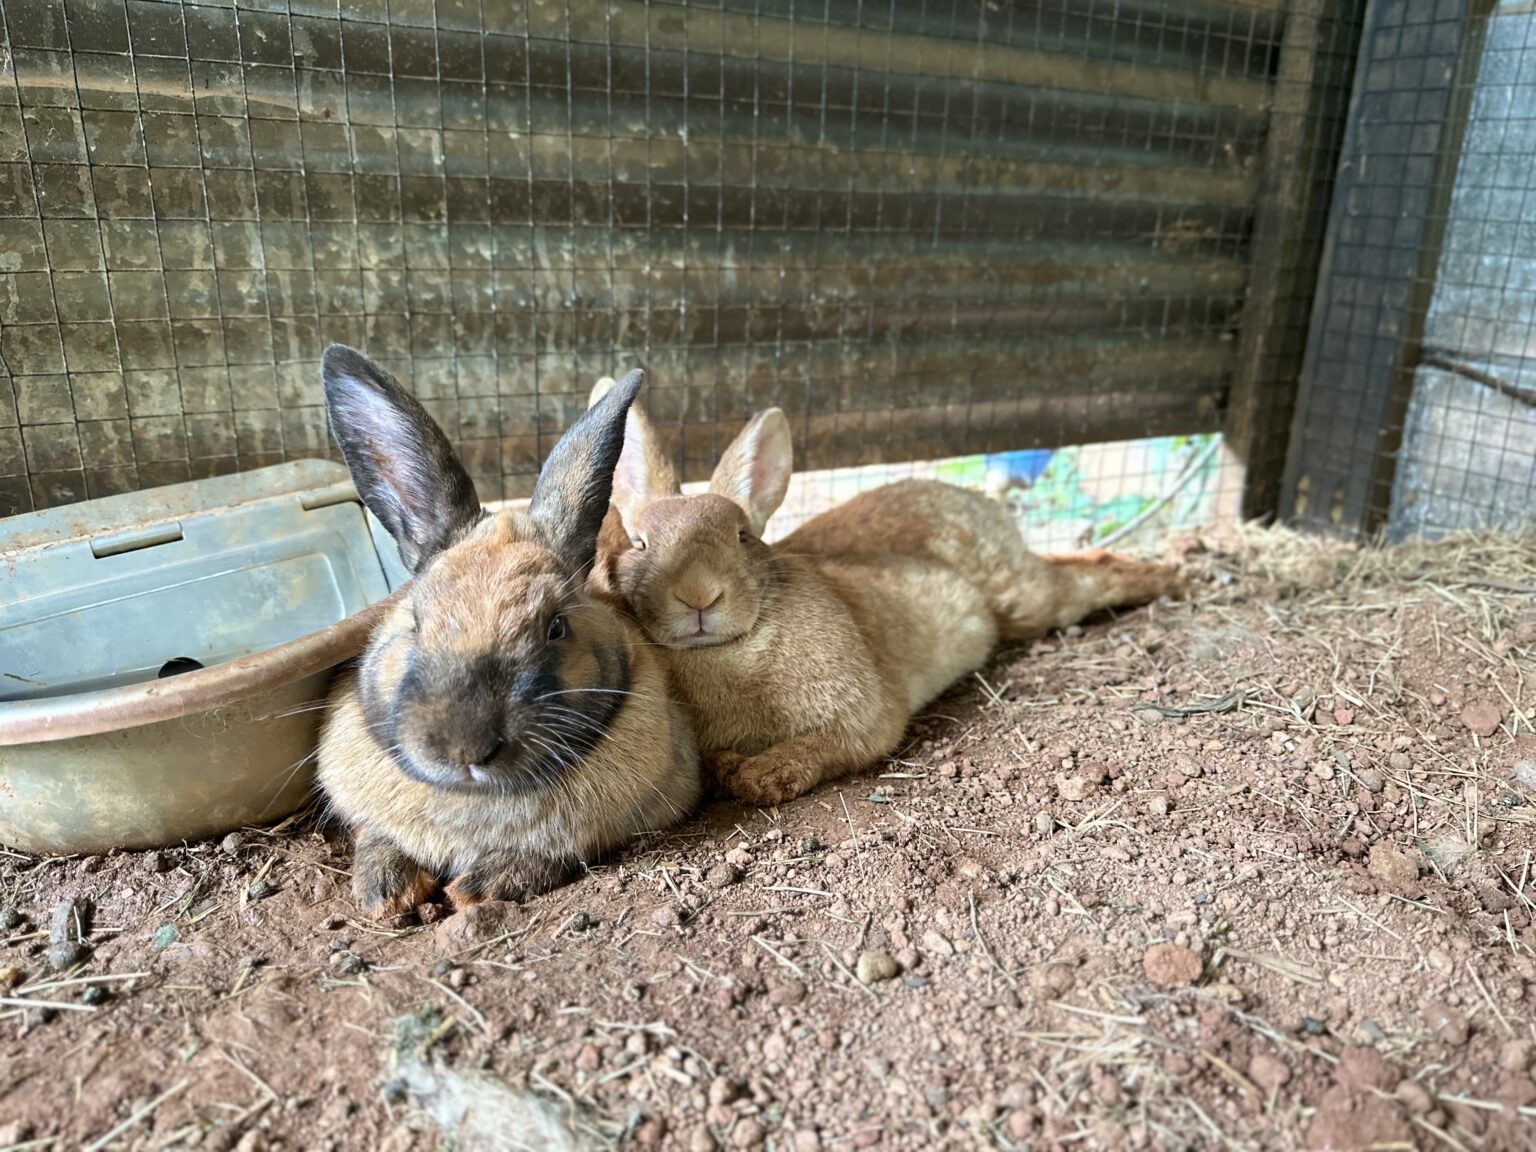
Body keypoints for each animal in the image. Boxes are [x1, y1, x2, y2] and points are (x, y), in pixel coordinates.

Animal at [315, 346, 699, 917]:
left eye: (556, 627)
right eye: (415, 620)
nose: (465, 748)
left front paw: (479, 885)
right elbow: (375, 835)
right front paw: (384, 892)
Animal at [593, 393, 1184, 807]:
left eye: (741, 536)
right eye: (640, 543)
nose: (698, 595)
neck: (729, 648)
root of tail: (978, 502)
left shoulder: (863, 713)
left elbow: (830, 742)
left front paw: (761, 777)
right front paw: (725, 770)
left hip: (1027, 600)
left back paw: (1173, 576)